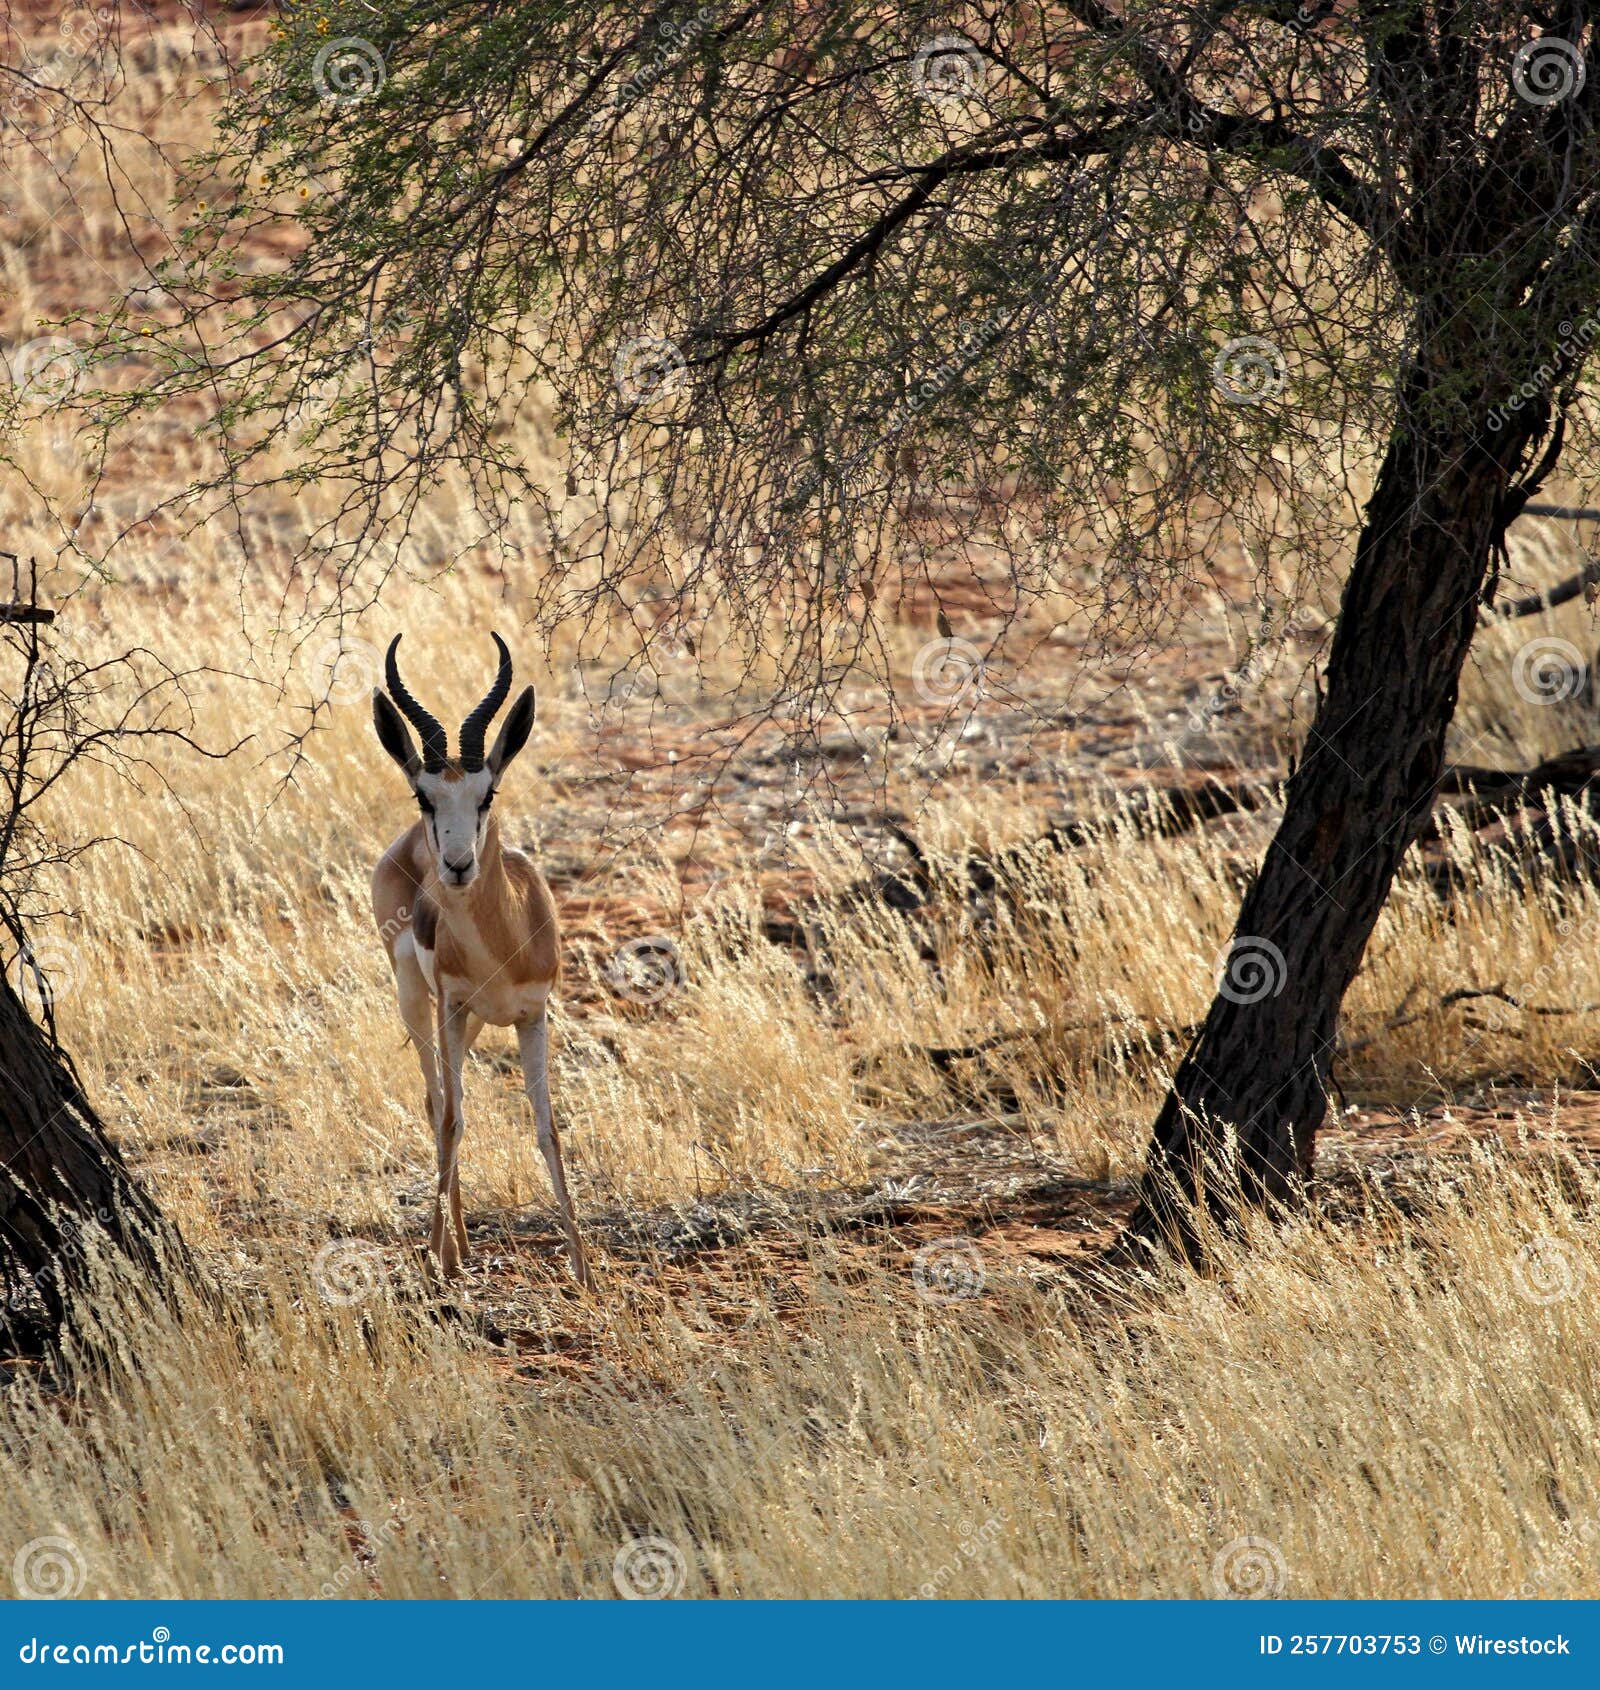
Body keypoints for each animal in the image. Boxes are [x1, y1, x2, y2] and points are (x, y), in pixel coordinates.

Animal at [370, 632, 592, 1287]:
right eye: (424, 795)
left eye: (486, 792)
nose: (458, 865)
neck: (503, 943)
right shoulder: (450, 1003)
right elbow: (450, 1120)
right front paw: (434, 1260)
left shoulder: (534, 1015)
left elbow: (547, 1129)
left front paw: (585, 1271)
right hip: (419, 1002)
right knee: (438, 1102)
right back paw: (450, 1248)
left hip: (466, 1024)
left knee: (450, 1101)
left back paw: (462, 1243)